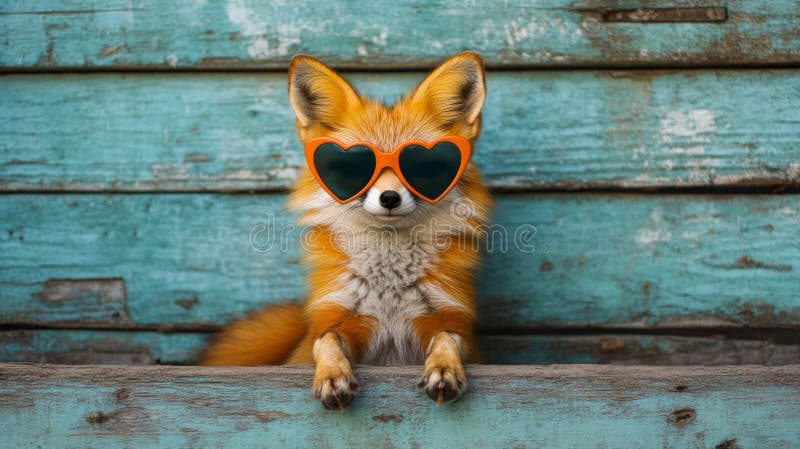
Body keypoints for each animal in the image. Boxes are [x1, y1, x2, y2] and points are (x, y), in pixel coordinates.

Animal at [201, 52, 492, 410]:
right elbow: (326, 341)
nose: (389, 198)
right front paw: (332, 374)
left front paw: (444, 366)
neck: (389, 289)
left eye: (421, 166)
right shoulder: (339, 317)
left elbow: (447, 339)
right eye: (355, 167)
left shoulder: (446, 317)